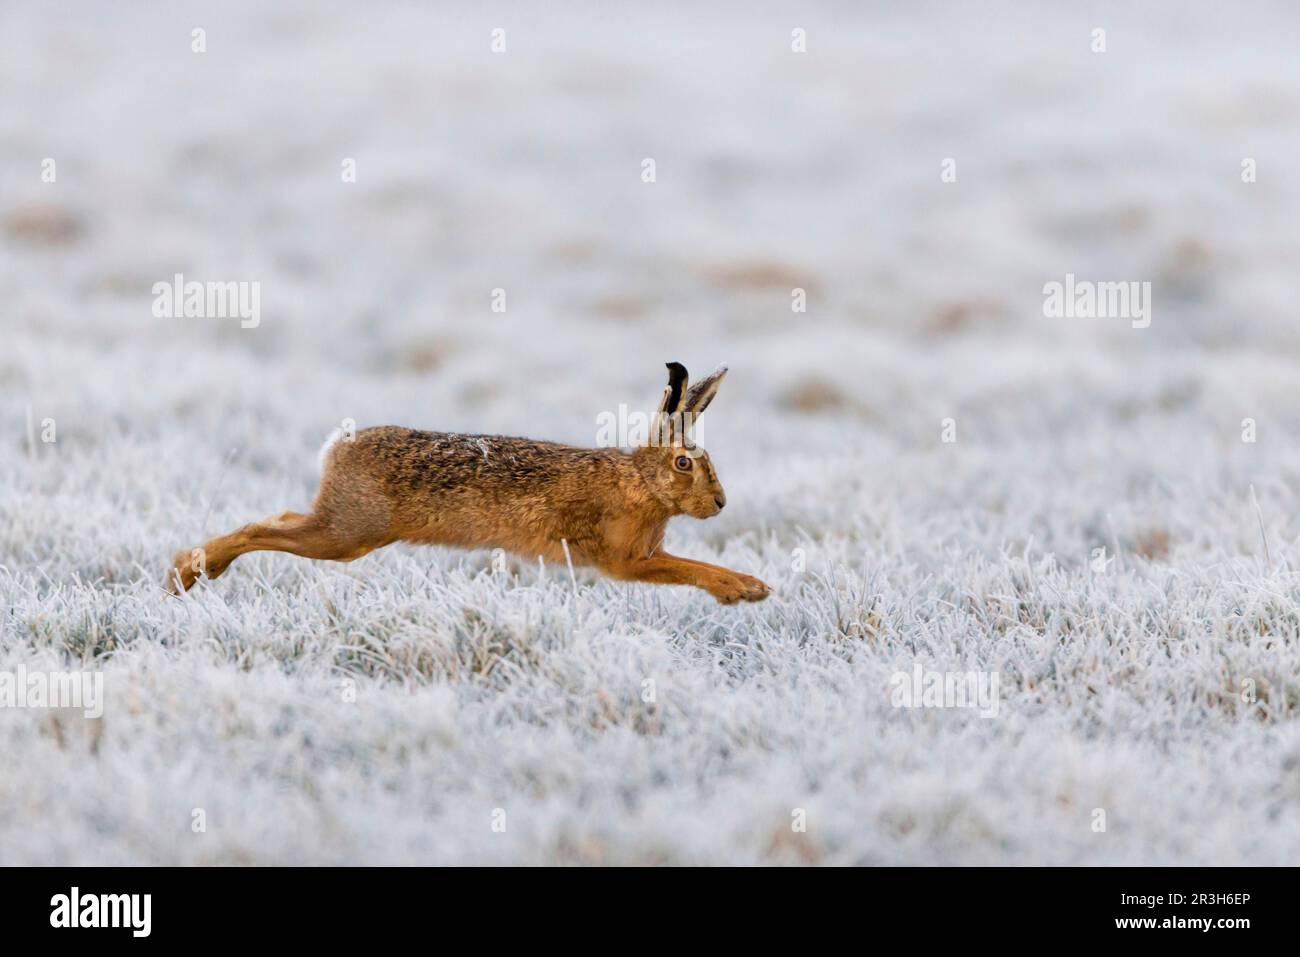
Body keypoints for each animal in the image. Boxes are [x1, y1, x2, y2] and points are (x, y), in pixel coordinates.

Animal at [166, 362, 770, 604]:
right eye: (685, 464)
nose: (720, 503)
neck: (640, 482)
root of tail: (337, 448)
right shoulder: (624, 561)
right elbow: (690, 568)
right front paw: (746, 591)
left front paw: (749, 588)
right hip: (347, 535)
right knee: (262, 529)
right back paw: (188, 574)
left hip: (339, 529)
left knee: (280, 518)